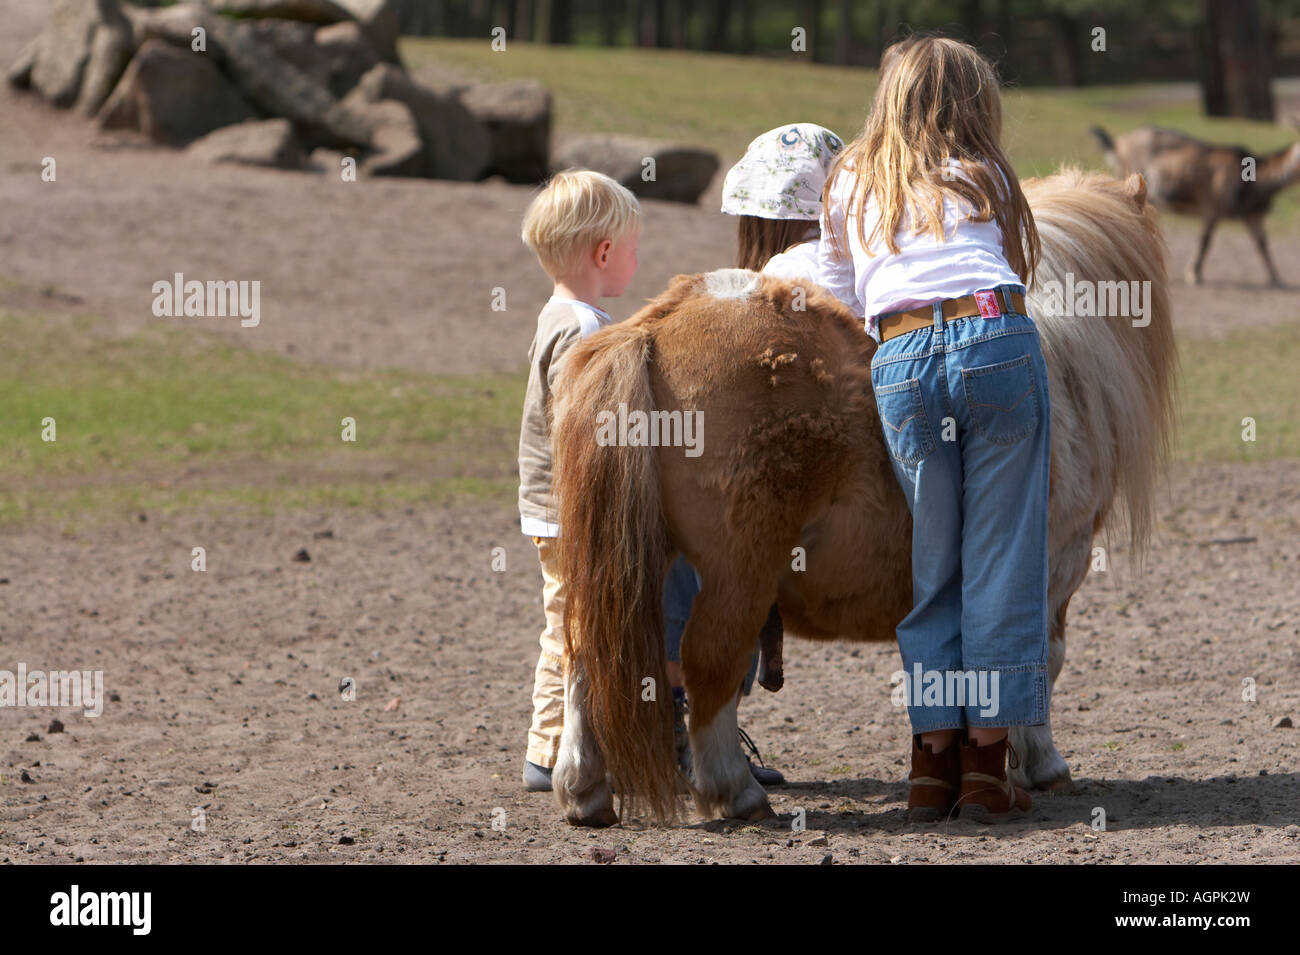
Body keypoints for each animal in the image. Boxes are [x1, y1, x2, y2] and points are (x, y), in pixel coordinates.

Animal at [549, 168, 1176, 826]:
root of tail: (652, 330)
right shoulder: (1052, 565)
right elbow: (1036, 658)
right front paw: (1040, 763)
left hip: (634, 566)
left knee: (586, 661)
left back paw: (584, 791)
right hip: (738, 571)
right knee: (709, 662)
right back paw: (735, 791)